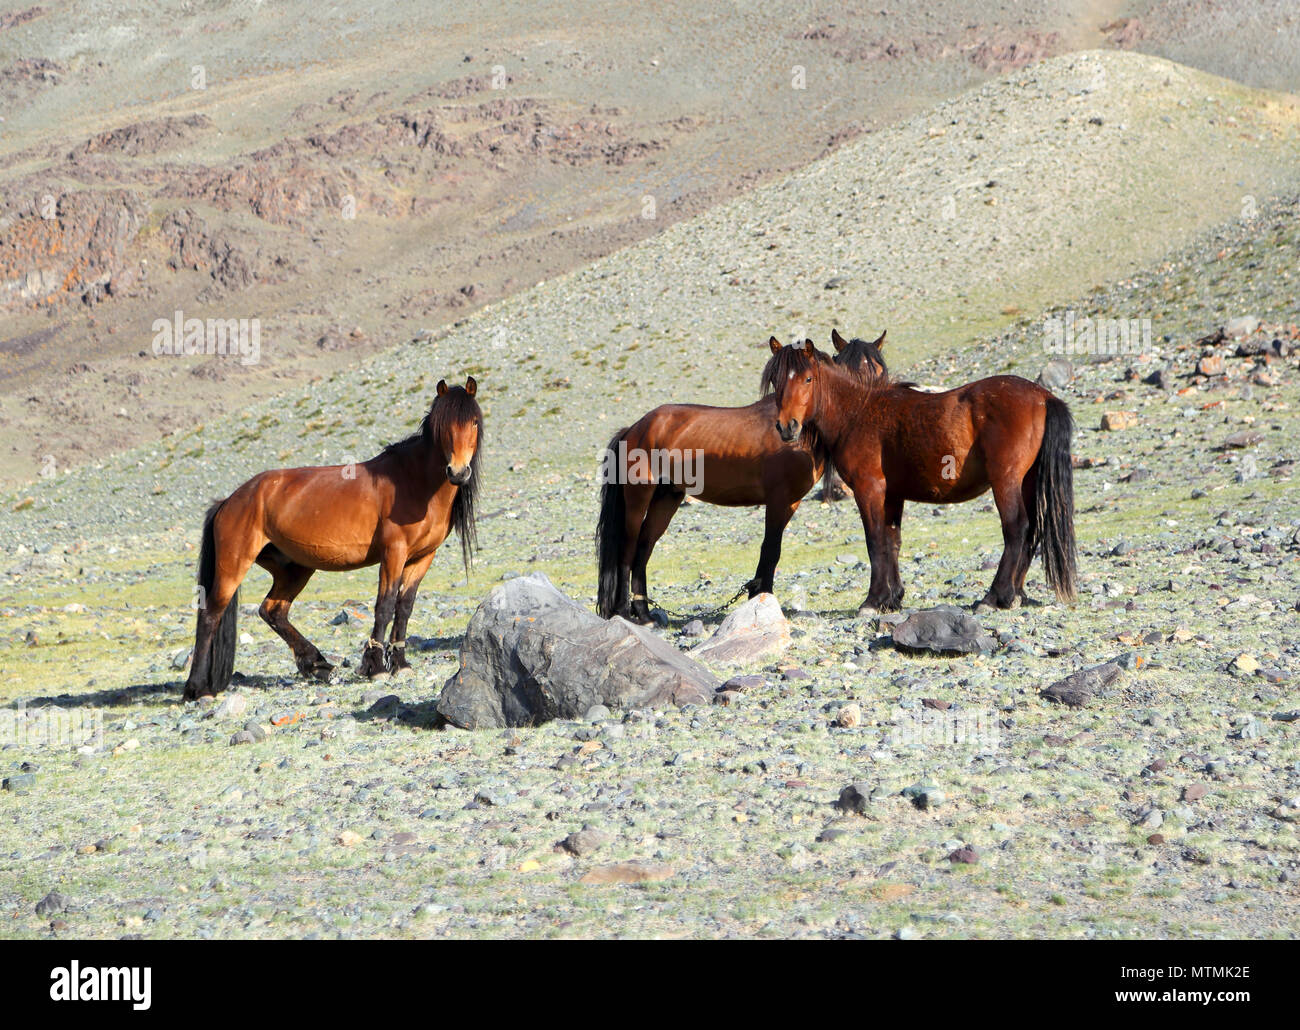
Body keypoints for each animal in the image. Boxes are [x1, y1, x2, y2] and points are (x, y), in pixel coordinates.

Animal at [182, 378, 483, 700]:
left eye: (474, 422)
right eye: (442, 426)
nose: (458, 472)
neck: (413, 482)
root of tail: (230, 500)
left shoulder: (422, 557)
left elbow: (404, 607)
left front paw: (400, 664)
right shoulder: (394, 552)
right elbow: (385, 605)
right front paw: (376, 667)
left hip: (295, 568)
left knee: (273, 611)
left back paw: (317, 664)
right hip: (234, 564)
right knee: (211, 614)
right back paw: (197, 688)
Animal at [596, 335, 885, 624]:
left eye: (879, 372)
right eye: (777, 379)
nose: (787, 428)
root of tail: (635, 429)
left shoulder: (790, 503)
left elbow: (770, 552)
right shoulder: (777, 501)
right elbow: (771, 550)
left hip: (667, 498)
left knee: (644, 548)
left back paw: (644, 614)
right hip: (638, 497)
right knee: (628, 549)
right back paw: (624, 612)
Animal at [766, 340, 1076, 613]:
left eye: (808, 379)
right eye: (776, 380)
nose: (786, 426)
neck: (858, 412)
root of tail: (1043, 396)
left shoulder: (869, 489)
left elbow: (874, 540)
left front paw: (873, 600)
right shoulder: (892, 494)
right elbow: (892, 540)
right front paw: (892, 598)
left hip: (1006, 482)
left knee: (1016, 528)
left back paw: (994, 596)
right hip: (1027, 482)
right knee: (1032, 531)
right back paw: (1015, 594)